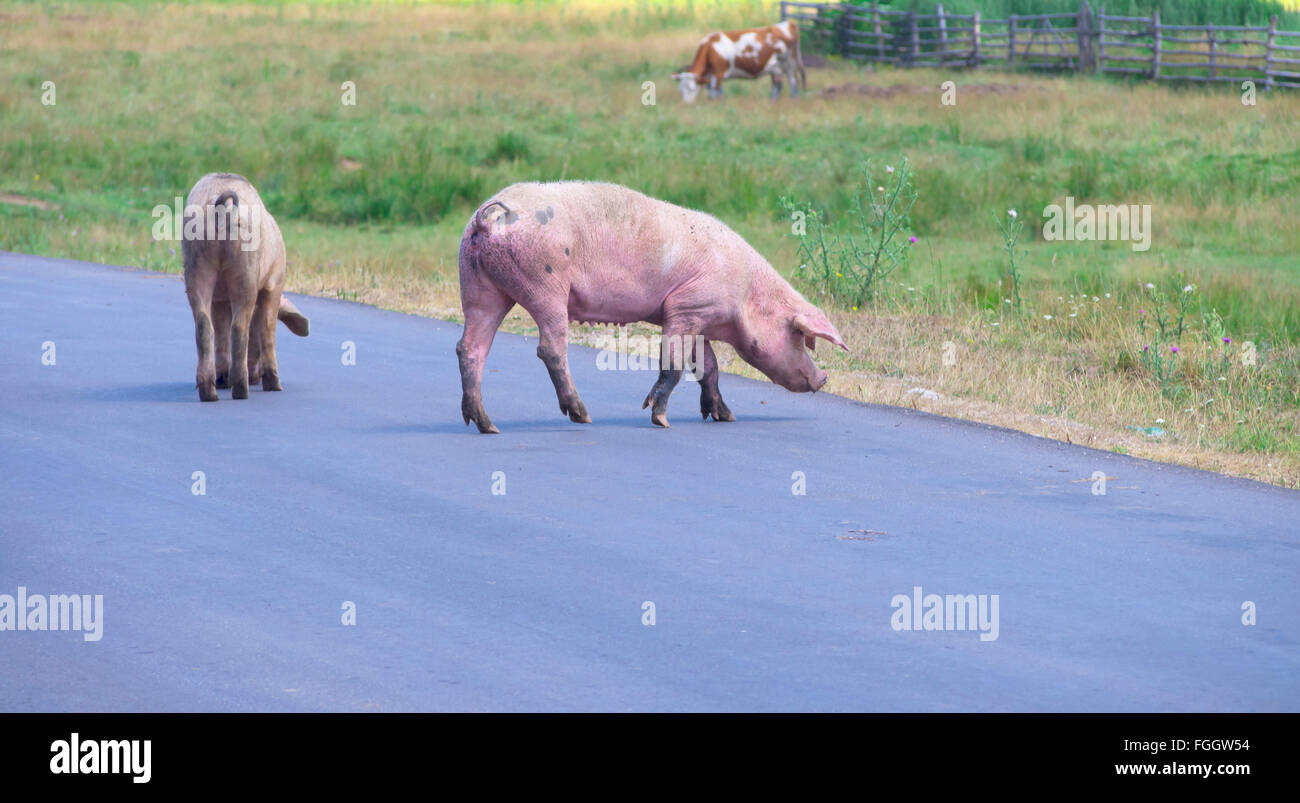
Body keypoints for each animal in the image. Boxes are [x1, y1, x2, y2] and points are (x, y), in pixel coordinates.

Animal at [182, 173, 309, 402]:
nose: (255, 377)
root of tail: (224, 208)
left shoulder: (220, 299)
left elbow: (220, 329)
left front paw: (223, 380)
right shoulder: (274, 284)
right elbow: (267, 329)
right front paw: (274, 386)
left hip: (196, 263)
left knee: (204, 325)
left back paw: (211, 393)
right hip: (247, 270)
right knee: (239, 327)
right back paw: (242, 391)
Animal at [456, 181, 847, 433]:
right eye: (798, 335)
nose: (823, 378)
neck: (745, 290)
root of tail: (488, 217)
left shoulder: (700, 319)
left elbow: (709, 367)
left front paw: (726, 417)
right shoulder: (686, 308)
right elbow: (674, 365)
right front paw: (660, 420)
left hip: (478, 285)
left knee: (470, 347)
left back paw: (486, 425)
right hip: (545, 284)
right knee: (549, 348)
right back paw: (583, 416)